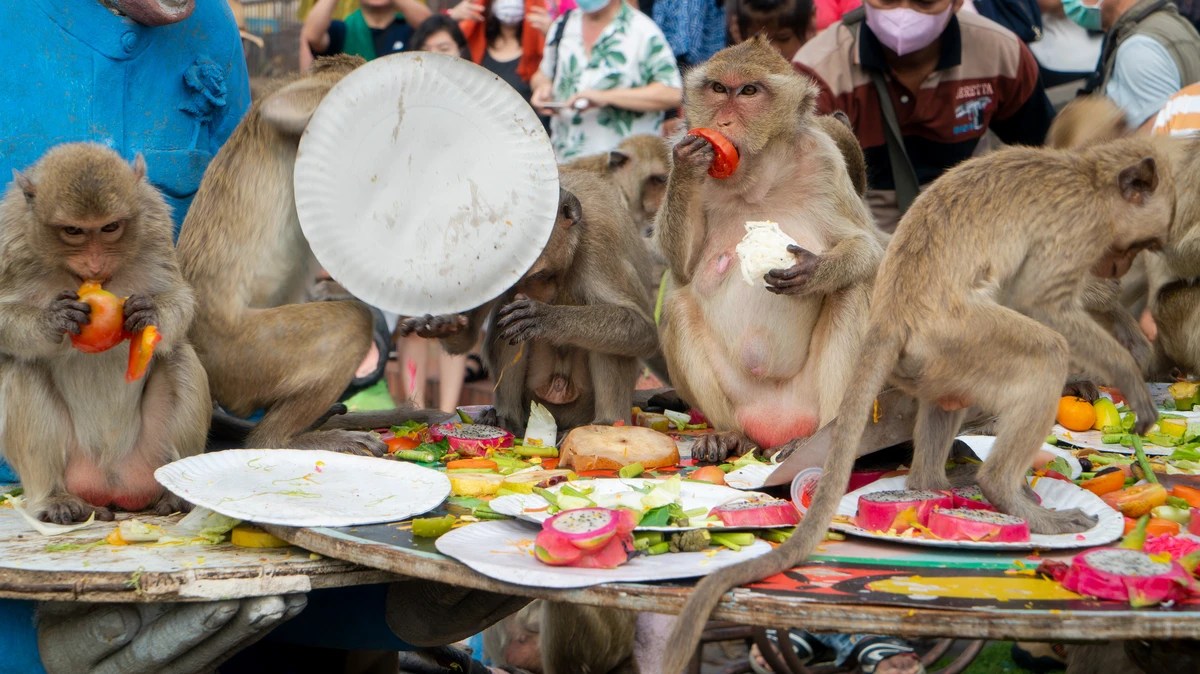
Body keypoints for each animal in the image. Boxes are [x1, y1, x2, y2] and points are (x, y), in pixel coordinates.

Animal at [0, 143, 211, 523]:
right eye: (73, 231)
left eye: (110, 227)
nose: (95, 264)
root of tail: (110, 481)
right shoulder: (11, 238)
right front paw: (54, 319)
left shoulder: (153, 221)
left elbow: (180, 297)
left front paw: (149, 311)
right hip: (74, 463)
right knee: (22, 366)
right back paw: (54, 498)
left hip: (148, 456)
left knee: (179, 357)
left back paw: (178, 493)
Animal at [653, 35, 884, 464]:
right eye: (718, 89)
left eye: (748, 91)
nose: (723, 123)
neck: (756, 179)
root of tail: (777, 424)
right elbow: (682, 266)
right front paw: (689, 162)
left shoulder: (824, 160)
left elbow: (866, 247)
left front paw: (814, 271)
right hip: (742, 400)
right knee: (677, 306)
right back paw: (731, 436)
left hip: (808, 401)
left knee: (851, 290)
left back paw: (820, 440)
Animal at [655, 136, 1177, 674]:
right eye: (1136, 245)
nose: (1120, 268)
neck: (1088, 178)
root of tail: (890, 316)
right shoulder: (1074, 229)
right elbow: (1047, 303)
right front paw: (1129, 372)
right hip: (958, 335)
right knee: (1043, 353)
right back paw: (1001, 489)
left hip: (935, 356)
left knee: (951, 395)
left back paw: (937, 483)